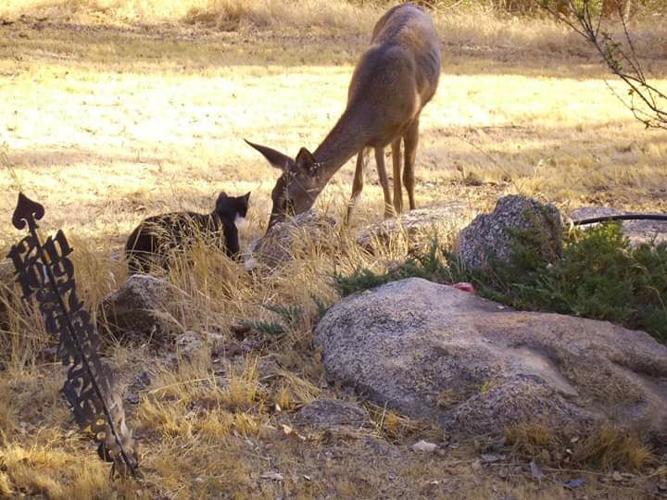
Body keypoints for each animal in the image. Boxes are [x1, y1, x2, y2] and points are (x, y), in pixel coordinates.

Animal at [246, 3, 441, 230]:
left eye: (289, 201)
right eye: (272, 194)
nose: (272, 229)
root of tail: (412, 5)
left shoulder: (411, 121)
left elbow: (406, 176)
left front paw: (408, 215)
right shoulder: (373, 139)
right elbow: (362, 181)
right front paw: (348, 227)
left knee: (404, 168)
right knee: (392, 153)